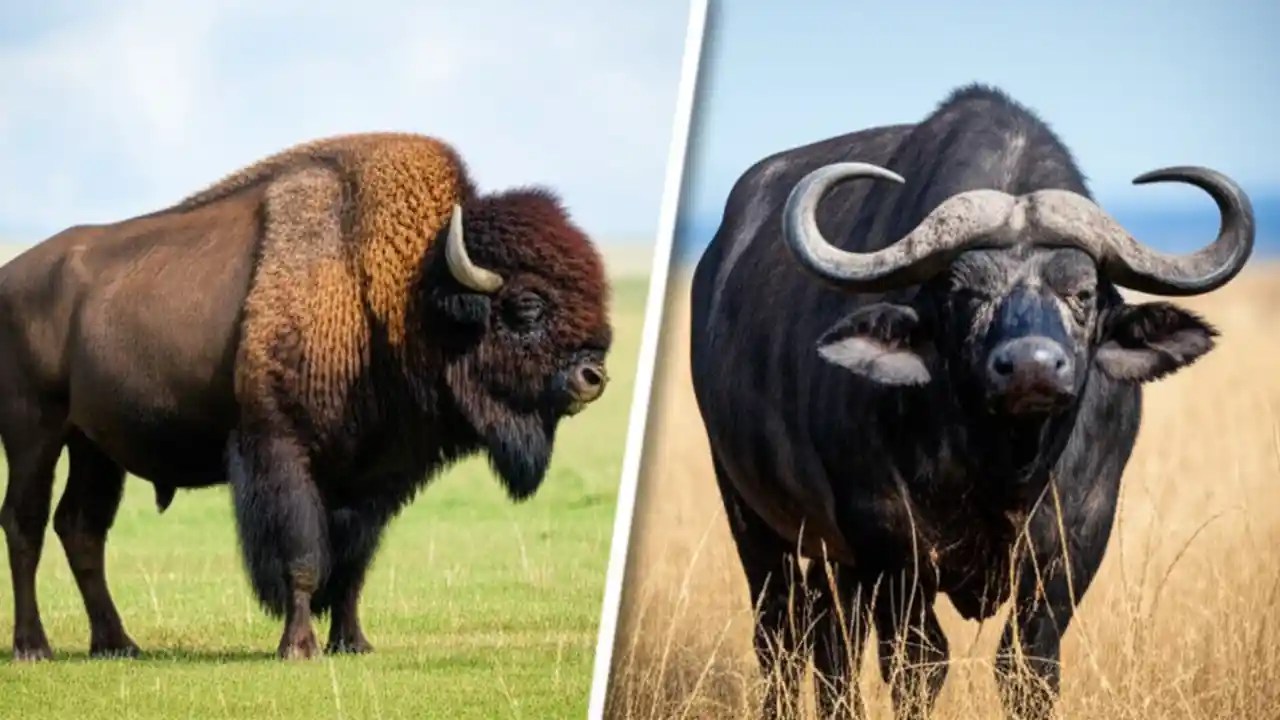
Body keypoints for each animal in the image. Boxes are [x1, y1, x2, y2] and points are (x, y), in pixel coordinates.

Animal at [0, 133, 612, 659]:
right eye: (527, 306)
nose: (593, 376)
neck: (400, 291)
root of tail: (11, 276)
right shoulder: (282, 451)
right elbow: (304, 557)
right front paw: (299, 647)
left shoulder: (371, 480)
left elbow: (351, 567)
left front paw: (353, 642)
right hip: (35, 435)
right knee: (25, 524)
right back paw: (34, 647)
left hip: (94, 447)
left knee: (81, 529)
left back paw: (118, 643)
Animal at [690, 85, 1253, 719]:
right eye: (965, 292)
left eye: (1082, 293)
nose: (1032, 367)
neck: (1002, 463)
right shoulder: (888, 543)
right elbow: (919, 664)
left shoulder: (1076, 542)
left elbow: (1027, 667)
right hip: (751, 512)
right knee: (781, 634)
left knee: (830, 636)